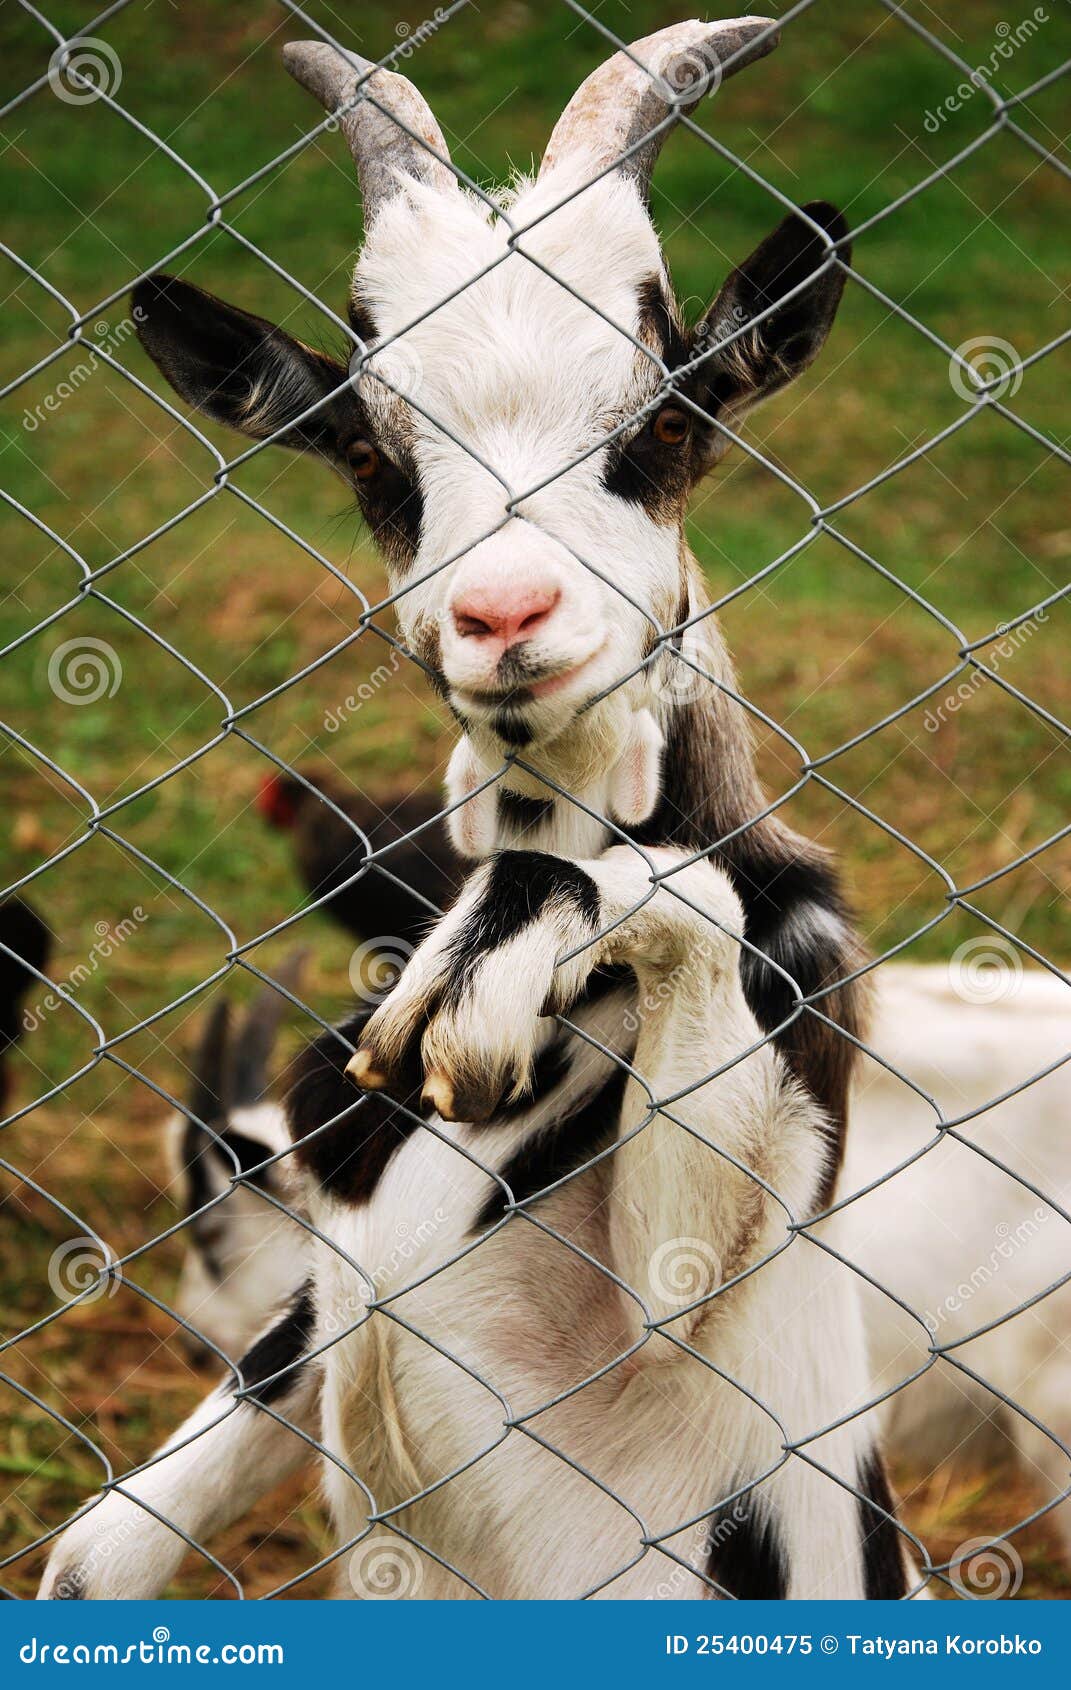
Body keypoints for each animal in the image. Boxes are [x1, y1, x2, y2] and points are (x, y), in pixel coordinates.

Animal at [41, 19, 914, 1600]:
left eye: (668, 422)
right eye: (369, 454)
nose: (504, 612)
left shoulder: (762, 1148)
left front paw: (503, 957)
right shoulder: (319, 1274)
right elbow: (94, 1558)